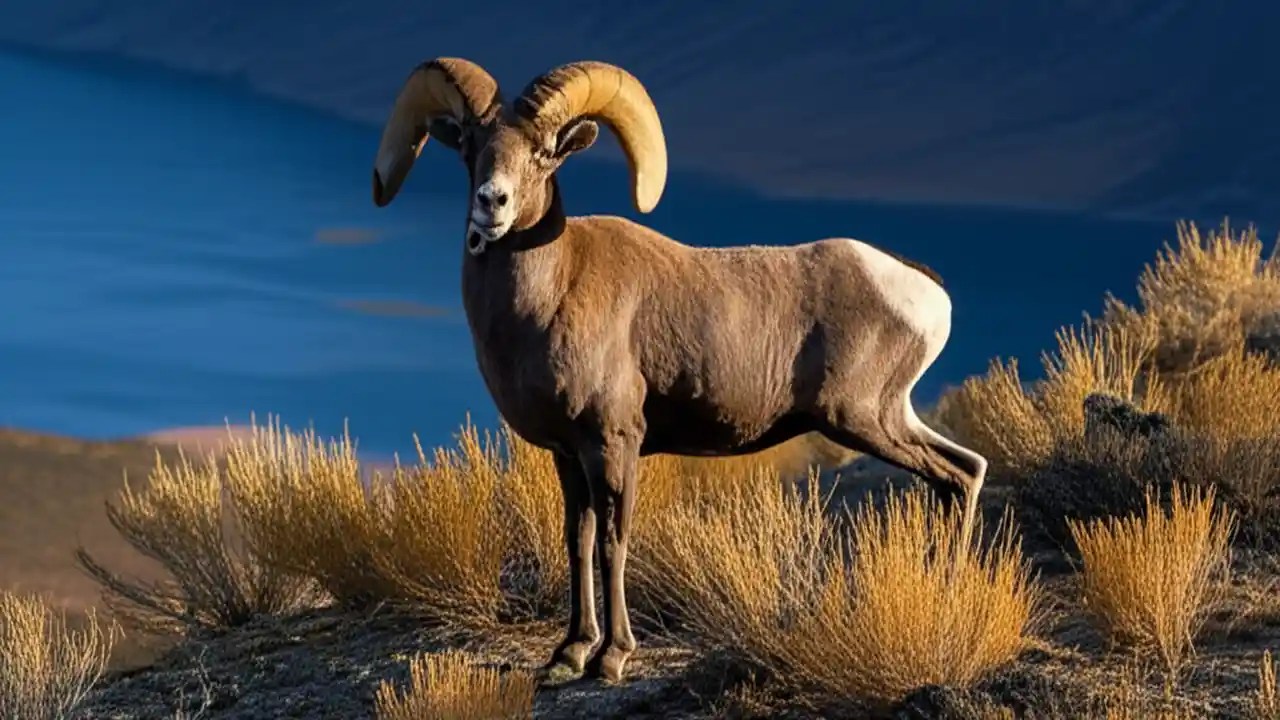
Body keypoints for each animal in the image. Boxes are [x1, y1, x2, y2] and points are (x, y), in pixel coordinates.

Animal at [371, 57, 988, 684]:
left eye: (545, 152)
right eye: (470, 146)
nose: (491, 203)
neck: (549, 295)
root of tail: (924, 289)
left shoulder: (614, 443)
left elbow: (612, 542)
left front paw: (611, 657)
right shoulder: (569, 454)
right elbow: (577, 541)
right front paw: (568, 654)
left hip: (862, 419)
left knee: (955, 475)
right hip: (888, 418)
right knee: (963, 472)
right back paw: (942, 589)